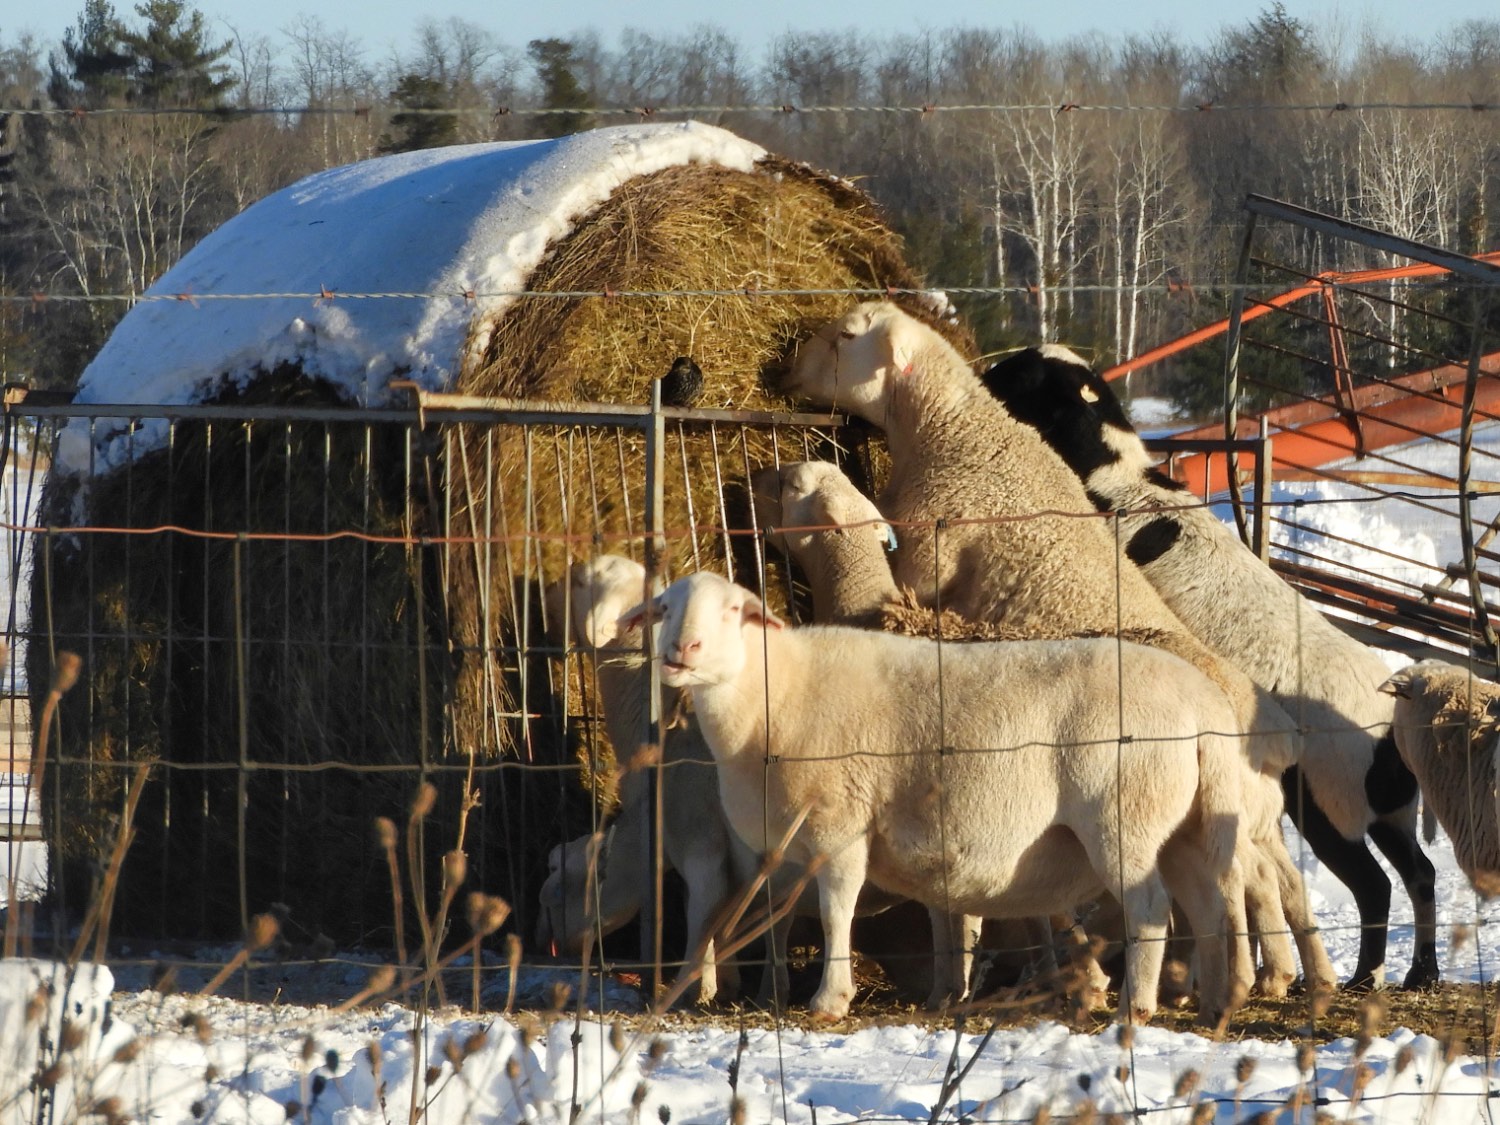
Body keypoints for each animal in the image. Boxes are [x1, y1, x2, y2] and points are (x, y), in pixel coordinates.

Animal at [623, 571, 1254, 1025]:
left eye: (734, 611)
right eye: (665, 607)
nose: (682, 648)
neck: (771, 696)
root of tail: (1203, 702)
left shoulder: (841, 822)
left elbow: (834, 910)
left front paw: (829, 1000)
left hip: (1125, 814)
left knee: (1150, 909)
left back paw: (1135, 1008)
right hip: (1184, 825)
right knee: (1206, 906)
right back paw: (1212, 1008)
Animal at [752, 459, 1335, 999]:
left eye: (792, 485)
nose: (753, 481)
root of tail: (1258, 712)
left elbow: (953, 912)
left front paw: (954, 988)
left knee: (1236, 880)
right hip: (1237, 810)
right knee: (1271, 879)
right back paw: (1281, 976)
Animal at [978, 344, 1438, 990]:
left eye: (1022, 374)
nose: (983, 370)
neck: (1116, 478)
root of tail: (1388, 737)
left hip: (1332, 802)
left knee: (1374, 884)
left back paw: (1362, 978)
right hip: (1391, 810)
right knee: (1421, 874)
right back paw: (1420, 974)